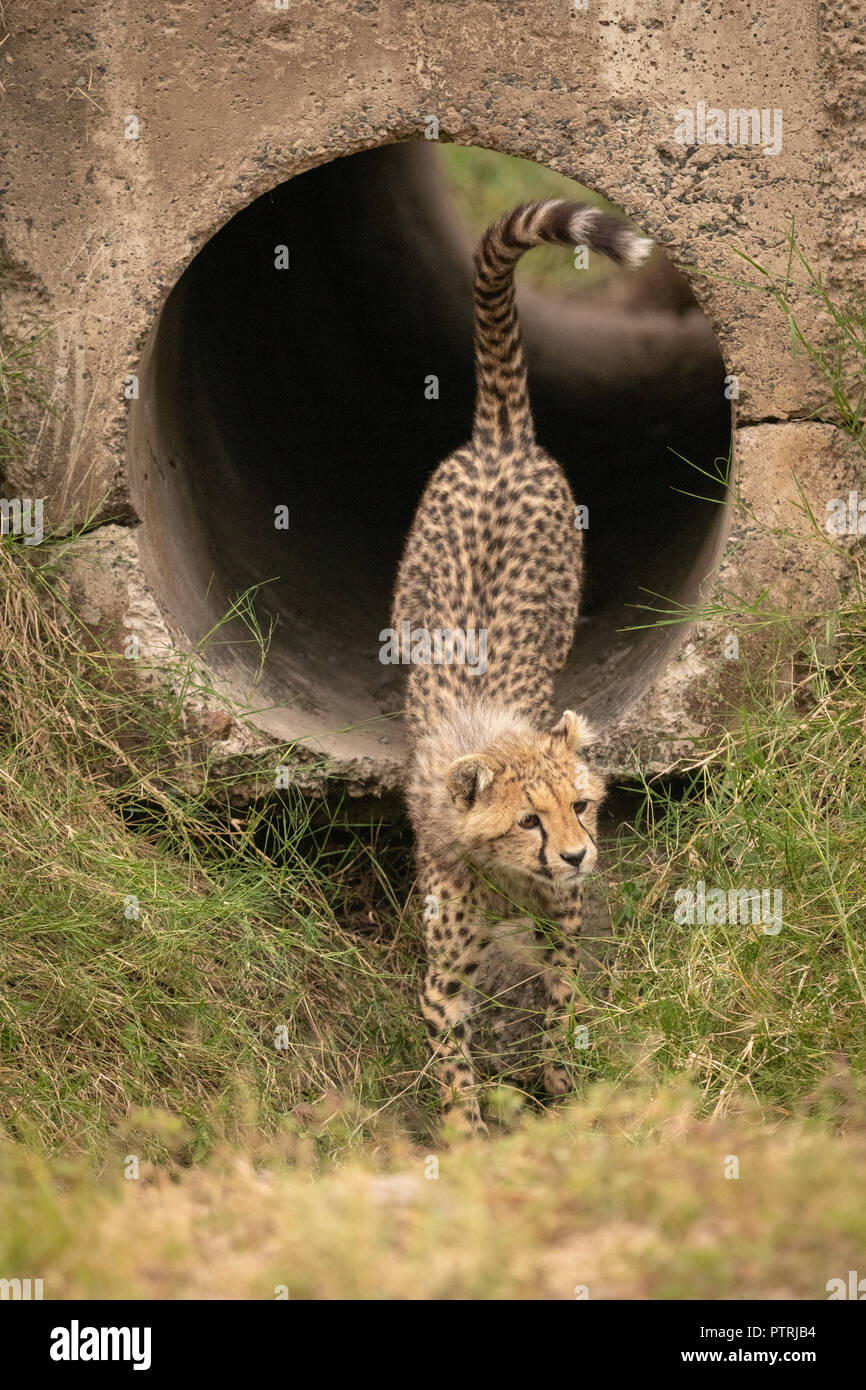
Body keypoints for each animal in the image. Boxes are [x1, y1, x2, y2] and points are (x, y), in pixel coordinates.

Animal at [391, 198, 653, 1134]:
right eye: (528, 821)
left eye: (579, 807)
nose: (576, 856)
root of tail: (499, 437)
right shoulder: (443, 976)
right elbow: (453, 1062)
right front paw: (469, 1137)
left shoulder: (564, 923)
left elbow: (563, 1004)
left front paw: (561, 1090)